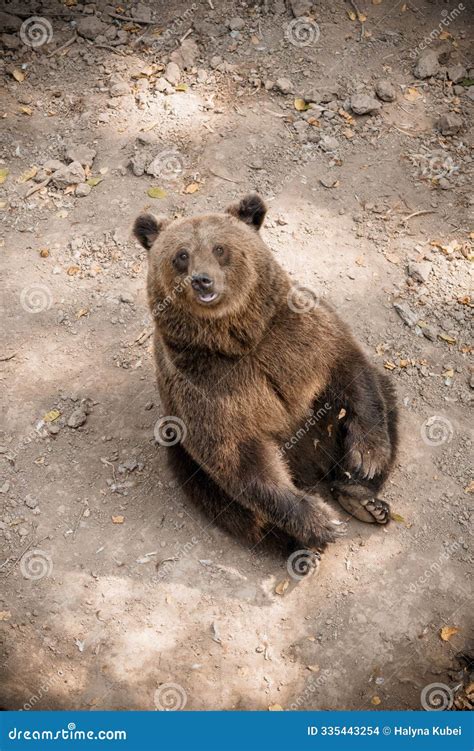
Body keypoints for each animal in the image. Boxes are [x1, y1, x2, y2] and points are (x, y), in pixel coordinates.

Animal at [133, 194, 398, 554]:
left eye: (219, 248)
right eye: (181, 255)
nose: (202, 280)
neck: (238, 339)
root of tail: (315, 472)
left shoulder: (294, 333)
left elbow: (348, 368)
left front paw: (367, 458)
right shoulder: (204, 382)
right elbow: (239, 455)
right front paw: (320, 521)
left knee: (387, 398)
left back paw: (360, 497)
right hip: (179, 445)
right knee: (222, 499)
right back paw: (301, 545)